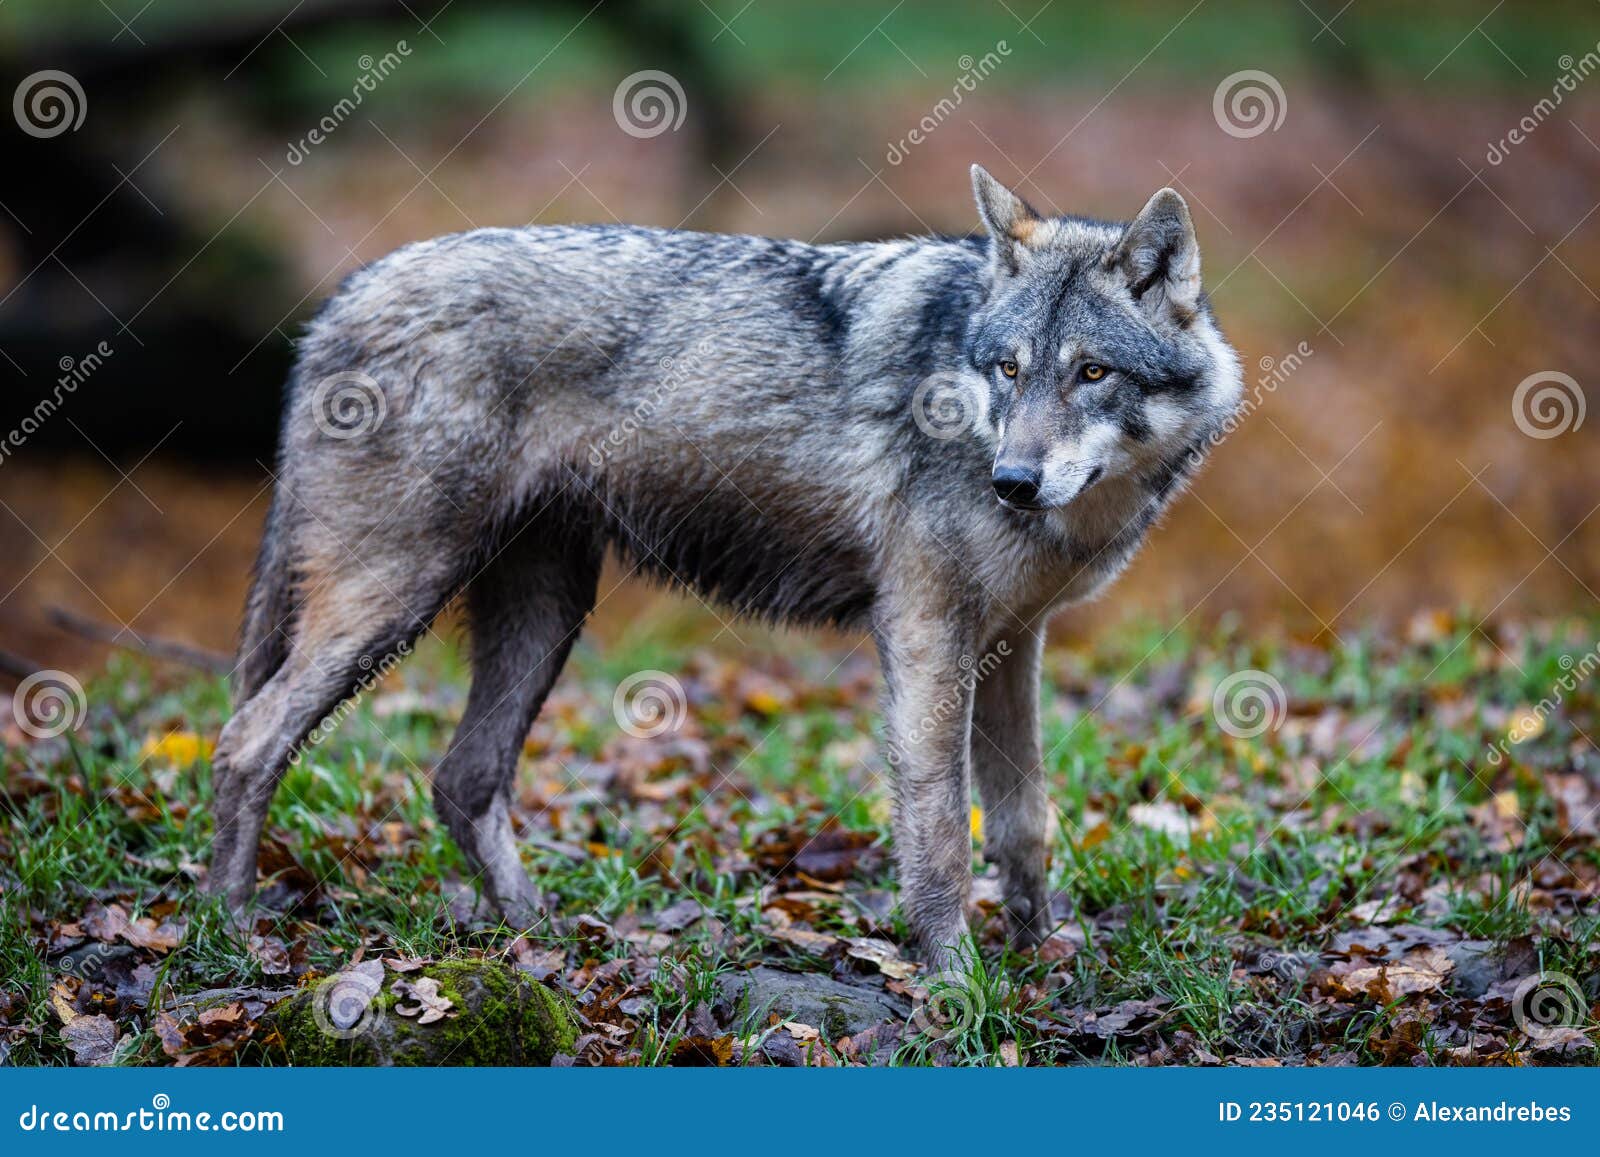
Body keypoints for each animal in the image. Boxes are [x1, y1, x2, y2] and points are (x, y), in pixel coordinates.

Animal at [210, 166, 1241, 971]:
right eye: (1010, 370)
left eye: (1092, 373)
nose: (1014, 481)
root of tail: (339, 301)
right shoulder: (926, 635)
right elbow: (944, 833)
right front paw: (958, 986)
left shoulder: (1014, 642)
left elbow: (1025, 822)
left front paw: (1044, 961)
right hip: (396, 601)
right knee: (246, 742)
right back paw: (228, 931)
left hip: (542, 613)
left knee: (461, 780)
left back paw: (544, 941)